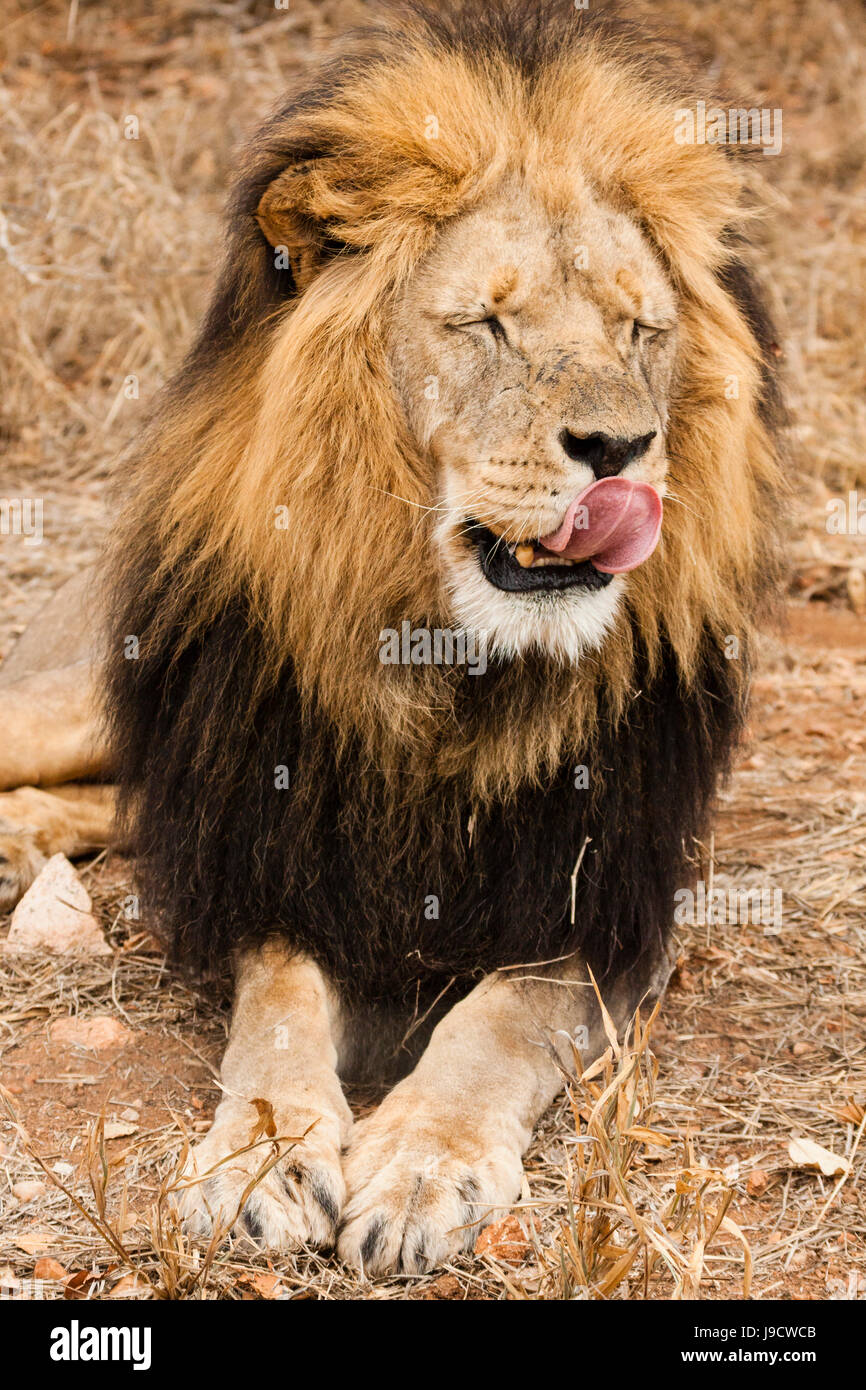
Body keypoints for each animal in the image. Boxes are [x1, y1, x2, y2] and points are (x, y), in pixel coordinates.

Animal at [0, 0, 784, 1275]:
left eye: (638, 329)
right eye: (484, 324)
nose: (622, 449)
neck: (448, 659)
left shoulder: (608, 903)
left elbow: (497, 1021)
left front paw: (424, 1164)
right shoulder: (274, 848)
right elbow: (278, 1012)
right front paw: (263, 1158)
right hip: (82, 695)